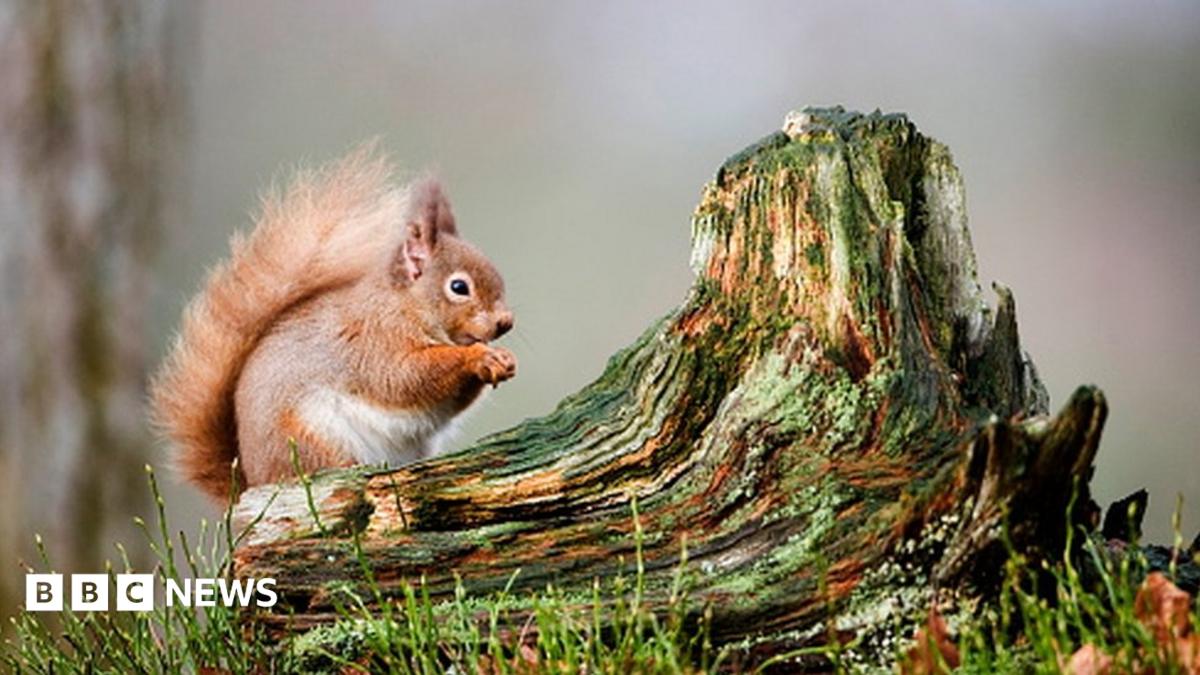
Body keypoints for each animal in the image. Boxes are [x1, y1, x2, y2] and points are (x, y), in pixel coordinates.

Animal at [150, 147, 516, 501]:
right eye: (459, 287)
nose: (505, 322)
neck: (406, 306)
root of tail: (253, 483)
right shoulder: (374, 341)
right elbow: (407, 377)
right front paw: (477, 357)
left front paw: (503, 359)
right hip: (311, 442)